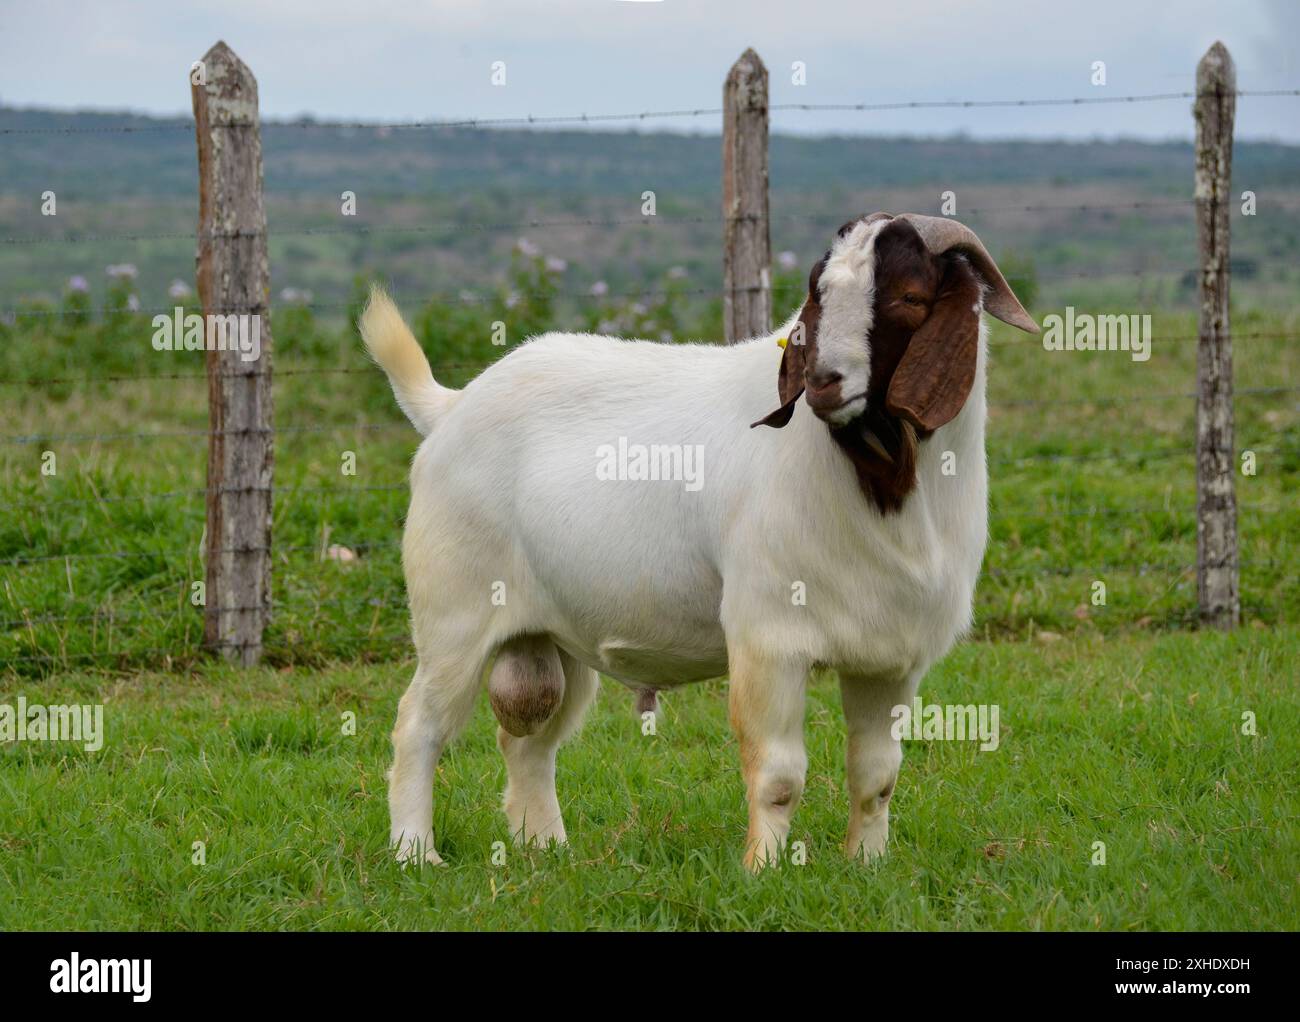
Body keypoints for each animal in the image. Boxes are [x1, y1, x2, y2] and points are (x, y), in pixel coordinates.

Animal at [361, 212, 1038, 870]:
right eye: (818, 294)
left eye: (909, 295)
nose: (823, 381)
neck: (883, 485)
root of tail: (450, 409)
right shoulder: (769, 638)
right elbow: (778, 775)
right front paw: (763, 870)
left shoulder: (891, 657)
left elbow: (876, 777)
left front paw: (867, 867)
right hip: (454, 615)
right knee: (418, 725)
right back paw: (416, 854)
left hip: (552, 634)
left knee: (527, 742)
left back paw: (546, 849)